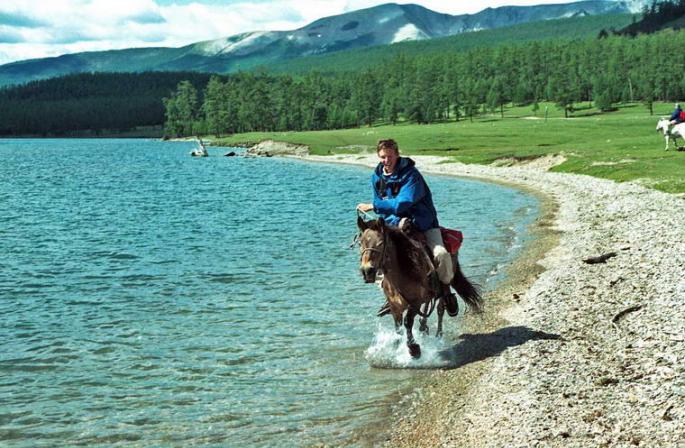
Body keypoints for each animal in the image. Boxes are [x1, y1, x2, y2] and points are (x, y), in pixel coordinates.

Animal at [358, 215, 480, 358]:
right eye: (360, 243)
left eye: (380, 243)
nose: (367, 271)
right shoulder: (395, 307)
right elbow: (398, 328)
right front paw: (397, 348)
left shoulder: (415, 303)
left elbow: (408, 322)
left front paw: (414, 348)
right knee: (428, 306)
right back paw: (423, 326)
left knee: (440, 307)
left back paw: (440, 330)